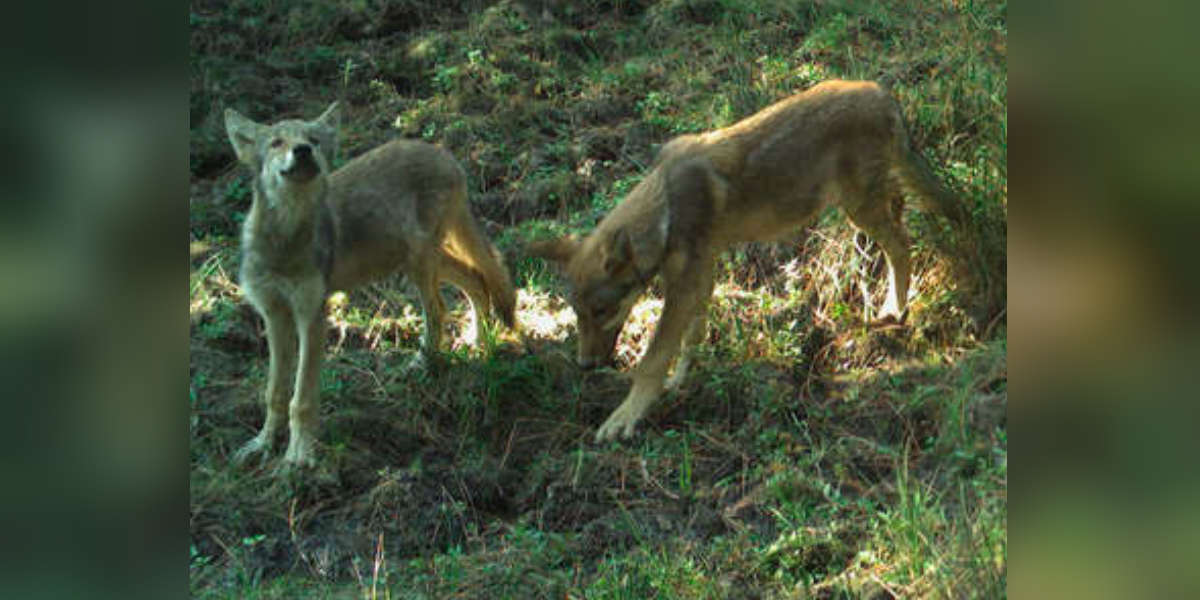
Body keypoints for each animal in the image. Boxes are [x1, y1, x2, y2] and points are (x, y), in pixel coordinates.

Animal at [224, 102, 517, 469]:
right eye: (277, 142)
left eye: (313, 140)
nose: (302, 150)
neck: (285, 243)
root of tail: (443, 153)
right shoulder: (274, 317)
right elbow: (274, 393)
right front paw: (262, 445)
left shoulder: (312, 317)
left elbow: (301, 399)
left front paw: (298, 458)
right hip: (419, 261)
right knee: (475, 279)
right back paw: (479, 344)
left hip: (421, 264)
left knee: (440, 309)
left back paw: (425, 364)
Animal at [530, 80, 965, 442]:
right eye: (578, 313)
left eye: (602, 310)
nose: (585, 365)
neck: (666, 208)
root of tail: (882, 93)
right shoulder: (701, 274)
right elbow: (692, 338)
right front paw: (678, 382)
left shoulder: (684, 286)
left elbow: (652, 359)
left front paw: (624, 417)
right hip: (867, 202)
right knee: (904, 211)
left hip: (859, 209)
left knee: (903, 245)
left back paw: (894, 309)